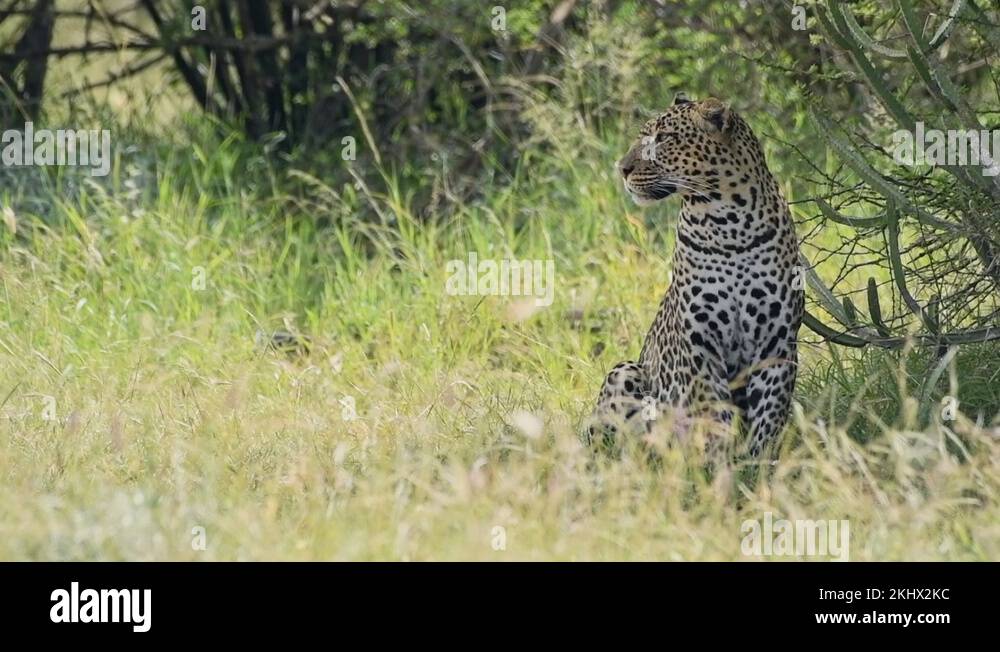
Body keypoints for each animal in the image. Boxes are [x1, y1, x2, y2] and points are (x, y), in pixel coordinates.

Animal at [588, 95, 804, 458]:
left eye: (663, 138)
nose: (622, 168)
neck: (729, 223)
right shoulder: (699, 347)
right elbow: (715, 415)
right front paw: (719, 464)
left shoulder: (776, 345)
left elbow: (768, 418)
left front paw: (757, 466)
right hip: (625, 372)